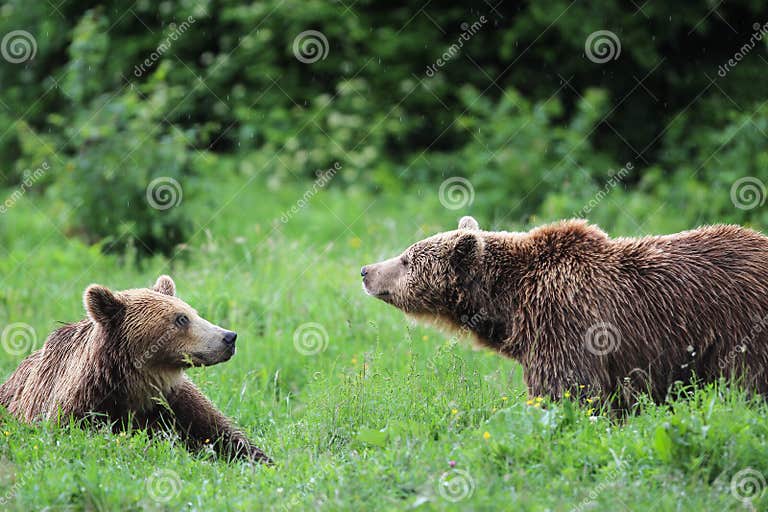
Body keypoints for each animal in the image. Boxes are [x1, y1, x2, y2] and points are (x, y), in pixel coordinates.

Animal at [0, 275, 271, 463]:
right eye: (181, 318)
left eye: (193, 312)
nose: (229, 337)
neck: (137, 384)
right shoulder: (80, 408)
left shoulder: (177, 403)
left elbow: (223, 436)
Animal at [361, 216, 768, 406]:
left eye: (406, 259)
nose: (366, 270)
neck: (508, 303)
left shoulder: (565, 320)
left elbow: (567, 387)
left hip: (742, 325)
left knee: (746, 381)